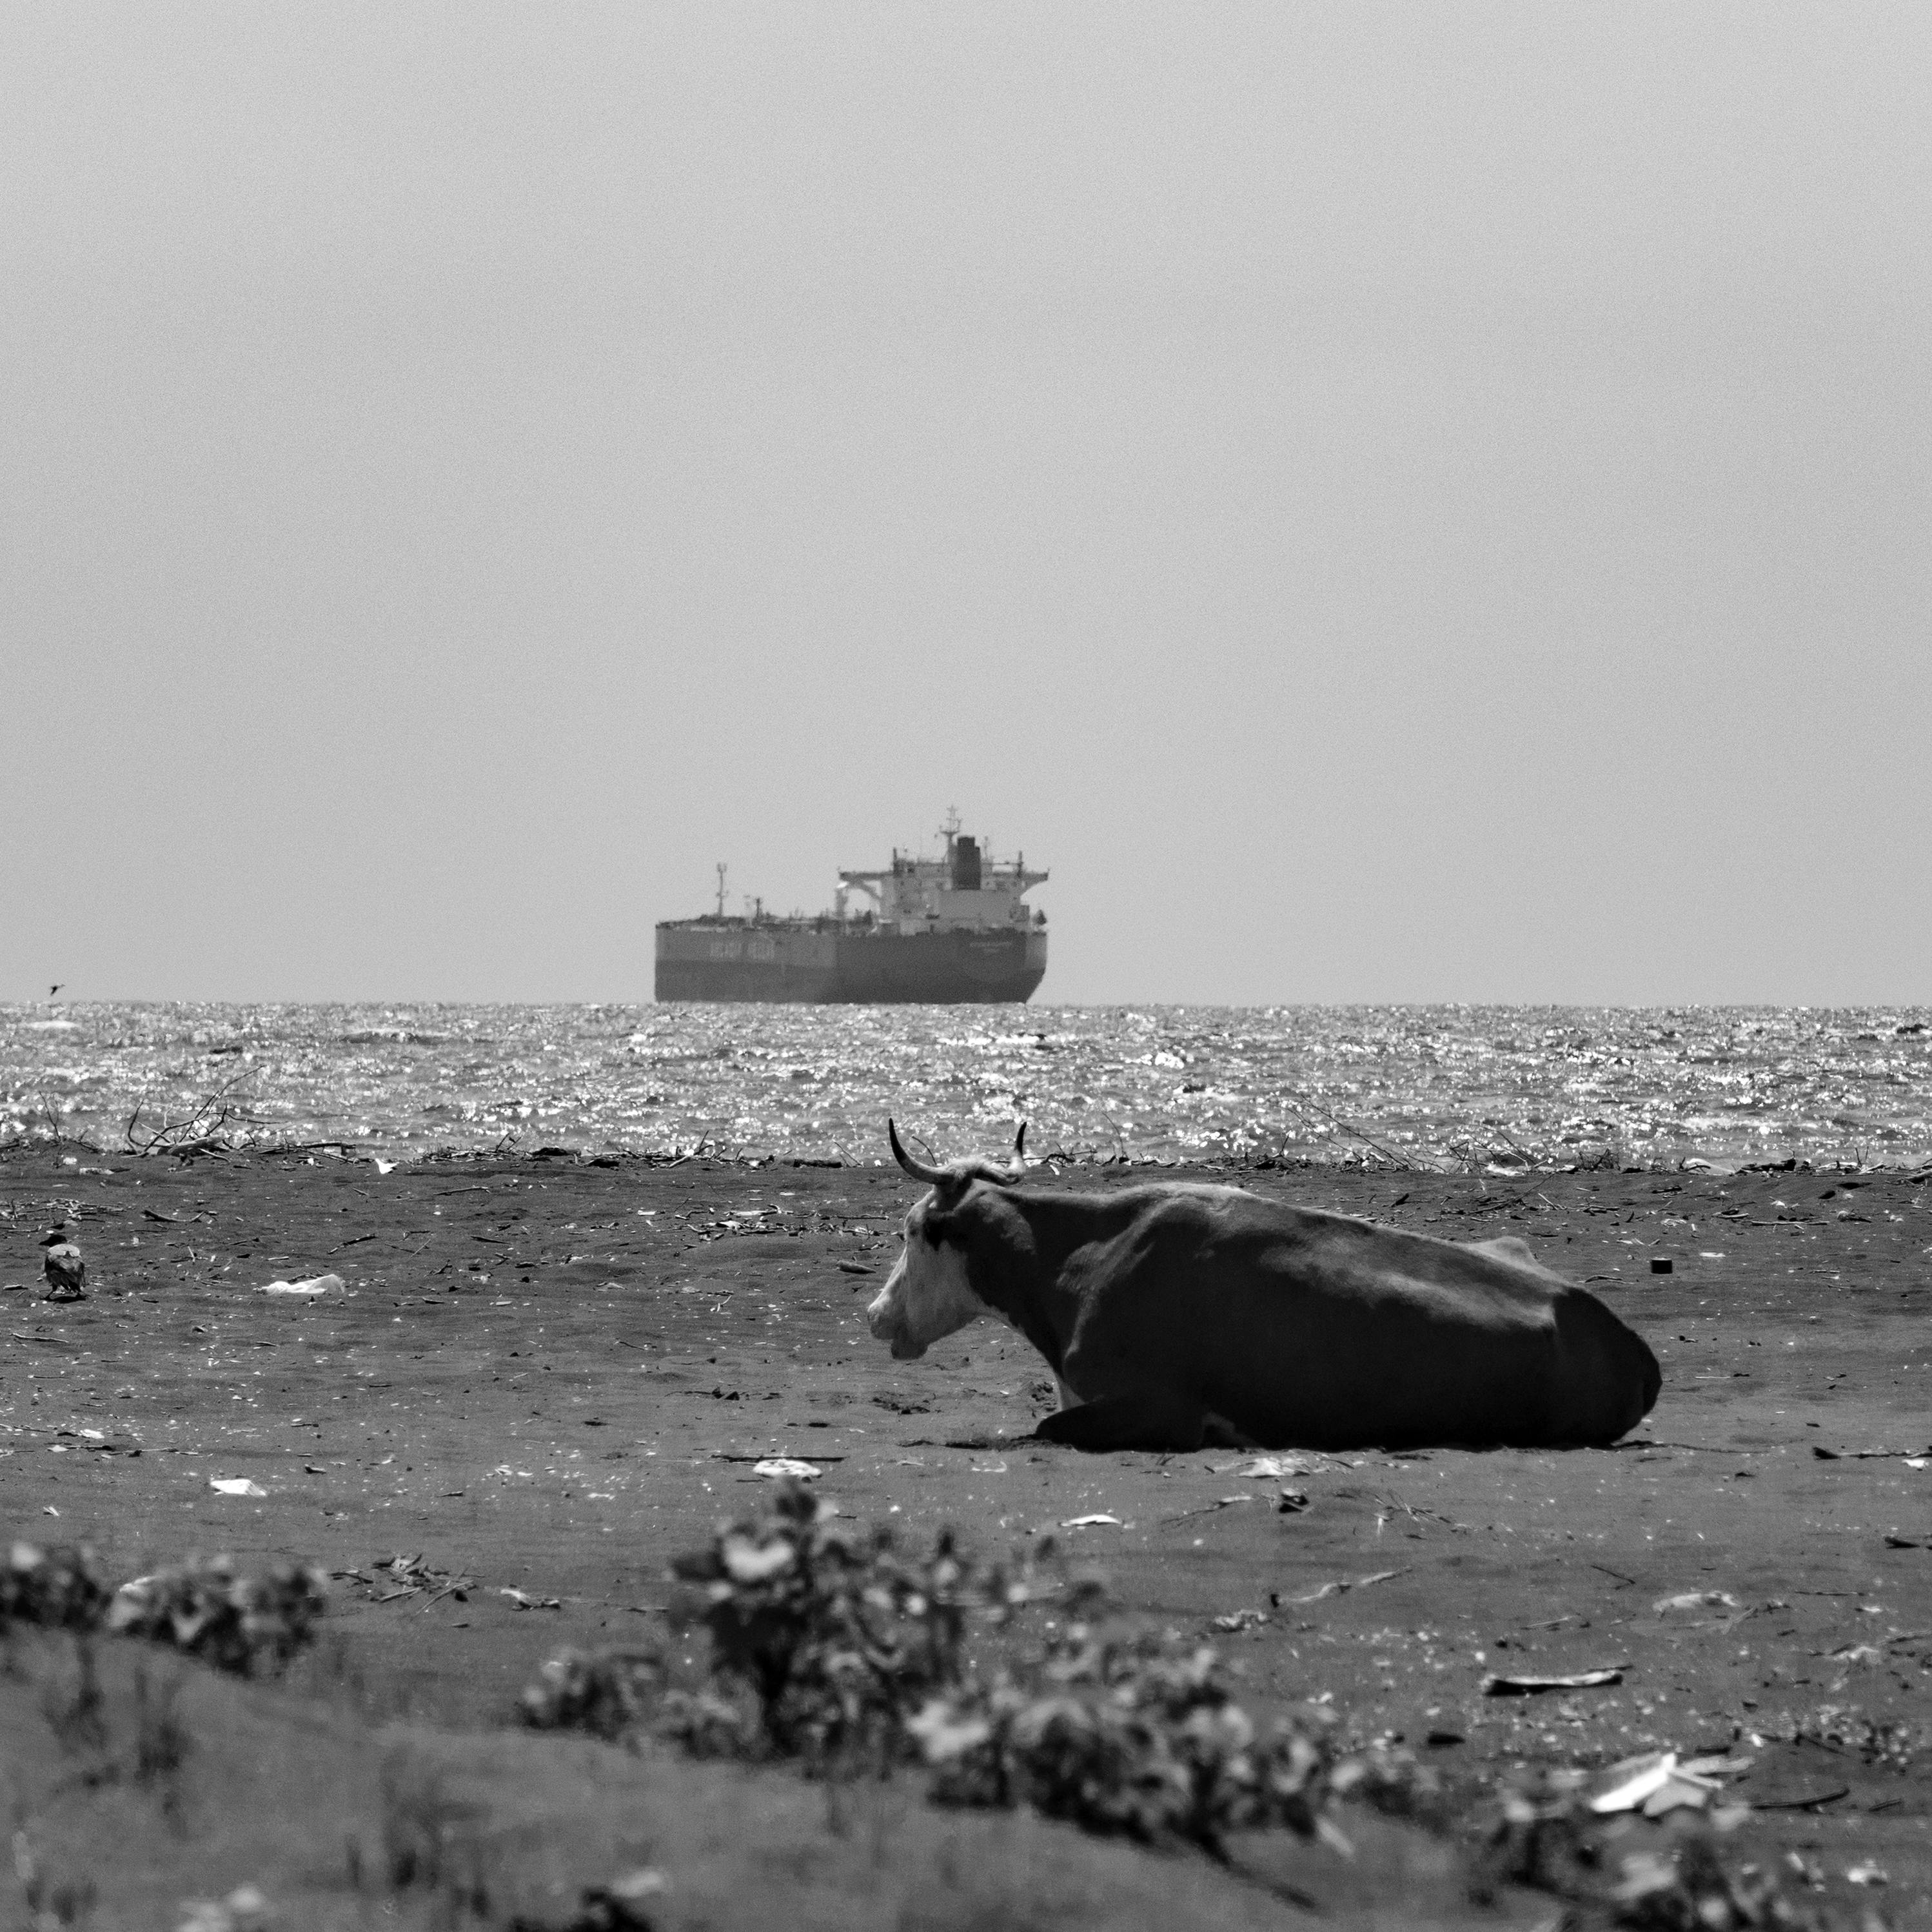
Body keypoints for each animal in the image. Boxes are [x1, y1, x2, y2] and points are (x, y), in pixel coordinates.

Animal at [866, 1122, 1660, 1452]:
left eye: (911, 1230)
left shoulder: (1162, 1405)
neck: (1075, 1262)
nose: (873, 1314)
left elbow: (1046, 1427)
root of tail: (1626, 1340)